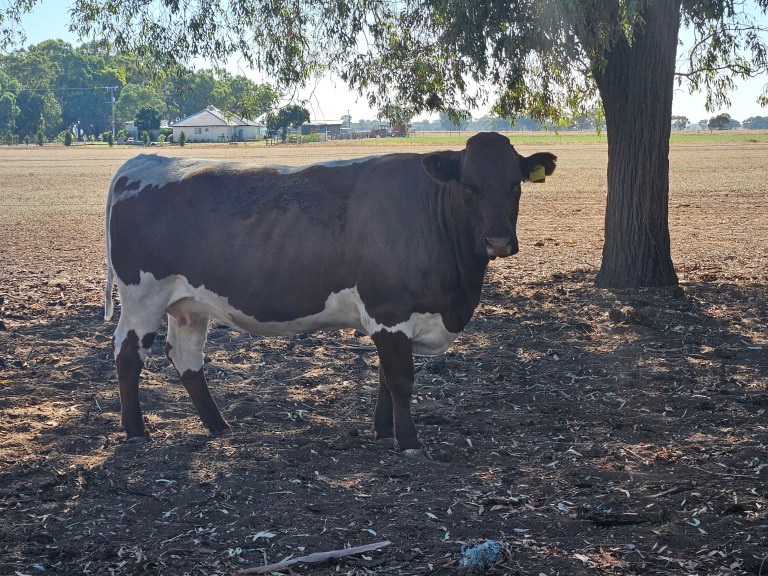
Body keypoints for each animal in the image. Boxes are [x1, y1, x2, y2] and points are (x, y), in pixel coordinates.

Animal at [105, 132, 556, 460]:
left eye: (515, 185)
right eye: (469, 185)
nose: (498, 241)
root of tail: (142, 160)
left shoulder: (394, 320)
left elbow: (384, 378)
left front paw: (383, 430)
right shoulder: (389, 310)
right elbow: (400, 379)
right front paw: (409, 442)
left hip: (188, 305)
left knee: (186, 358)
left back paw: (219, 425)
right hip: (143, 297)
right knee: (128, 355)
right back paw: (137, 432)